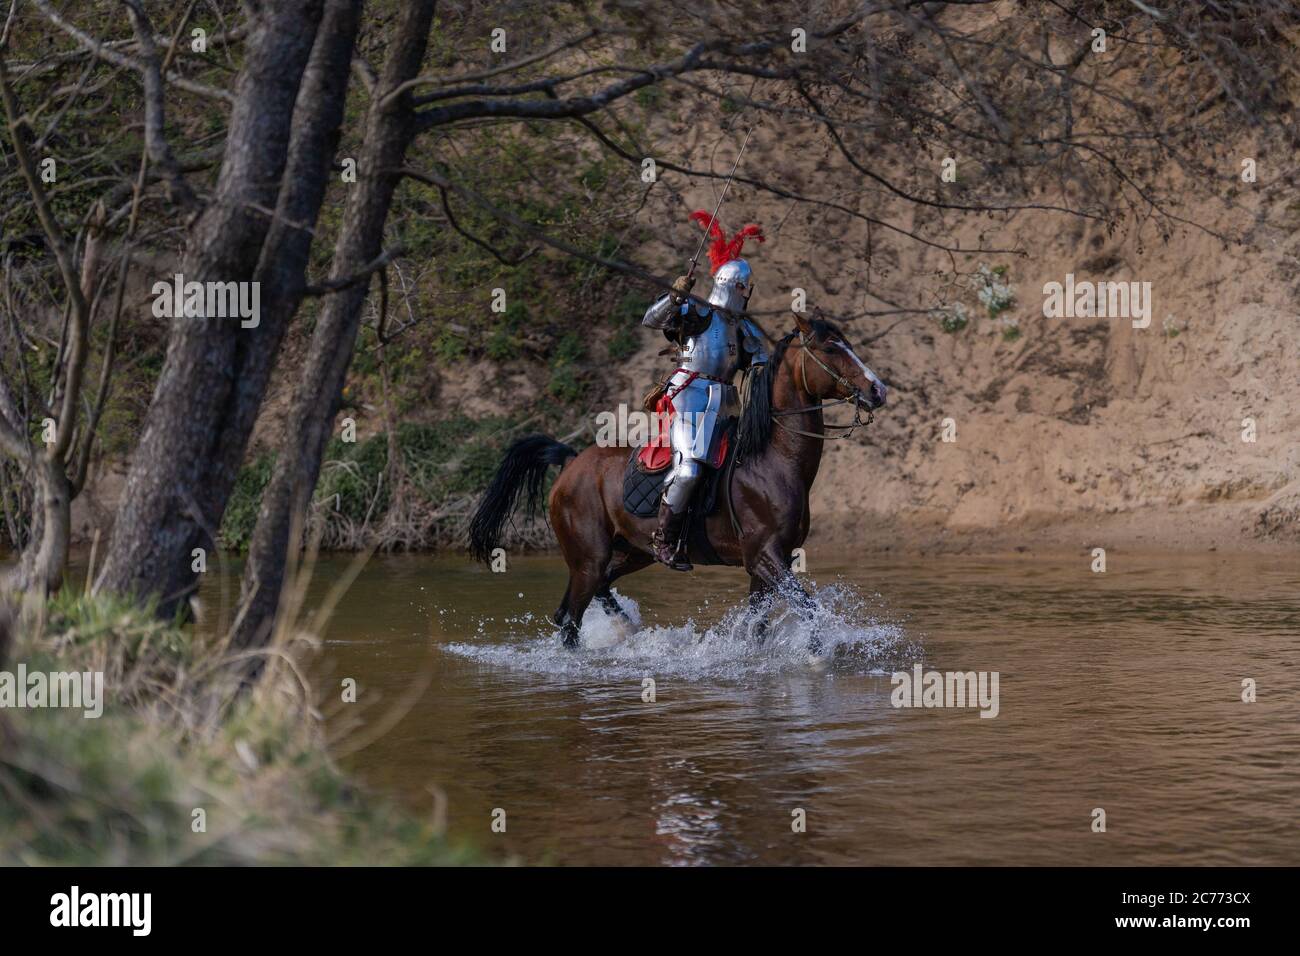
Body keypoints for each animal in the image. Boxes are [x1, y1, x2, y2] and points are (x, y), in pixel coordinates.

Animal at [468, 310, 888, 647]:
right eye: (831, 349)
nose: (877, 390)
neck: (771, 459)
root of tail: (571, 463)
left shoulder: (769, 562)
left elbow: (759, 626)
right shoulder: (765, 556)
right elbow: (808, 607)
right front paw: (817, 654)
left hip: (631, 551)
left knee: (588, 597)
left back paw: (625, 627)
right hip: (588, 557)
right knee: (571, 616)